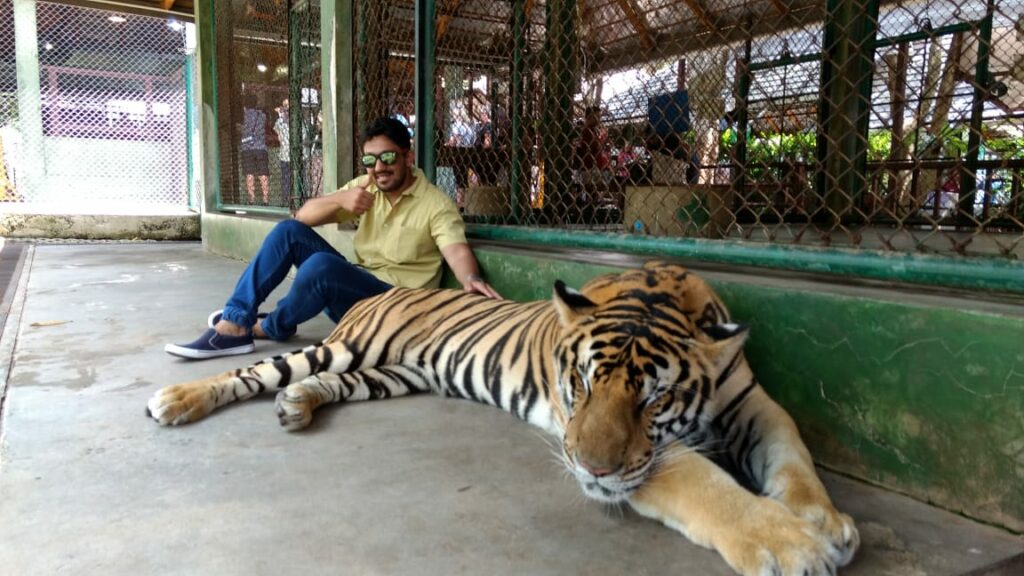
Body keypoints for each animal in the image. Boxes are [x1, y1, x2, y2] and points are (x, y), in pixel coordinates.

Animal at [147, 262, 859, 576]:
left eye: (653, 400)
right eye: (580, 384)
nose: (591, 469)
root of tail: (379, 291)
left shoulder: (753, 402)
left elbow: (792, 453)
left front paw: (824, 521)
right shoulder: (630, 457)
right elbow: (708, 486)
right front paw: (793, 545)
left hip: (392, 374)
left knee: (323, 384)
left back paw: (297, 405)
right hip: (348, 348)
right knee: (257, 372)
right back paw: (175, 400)